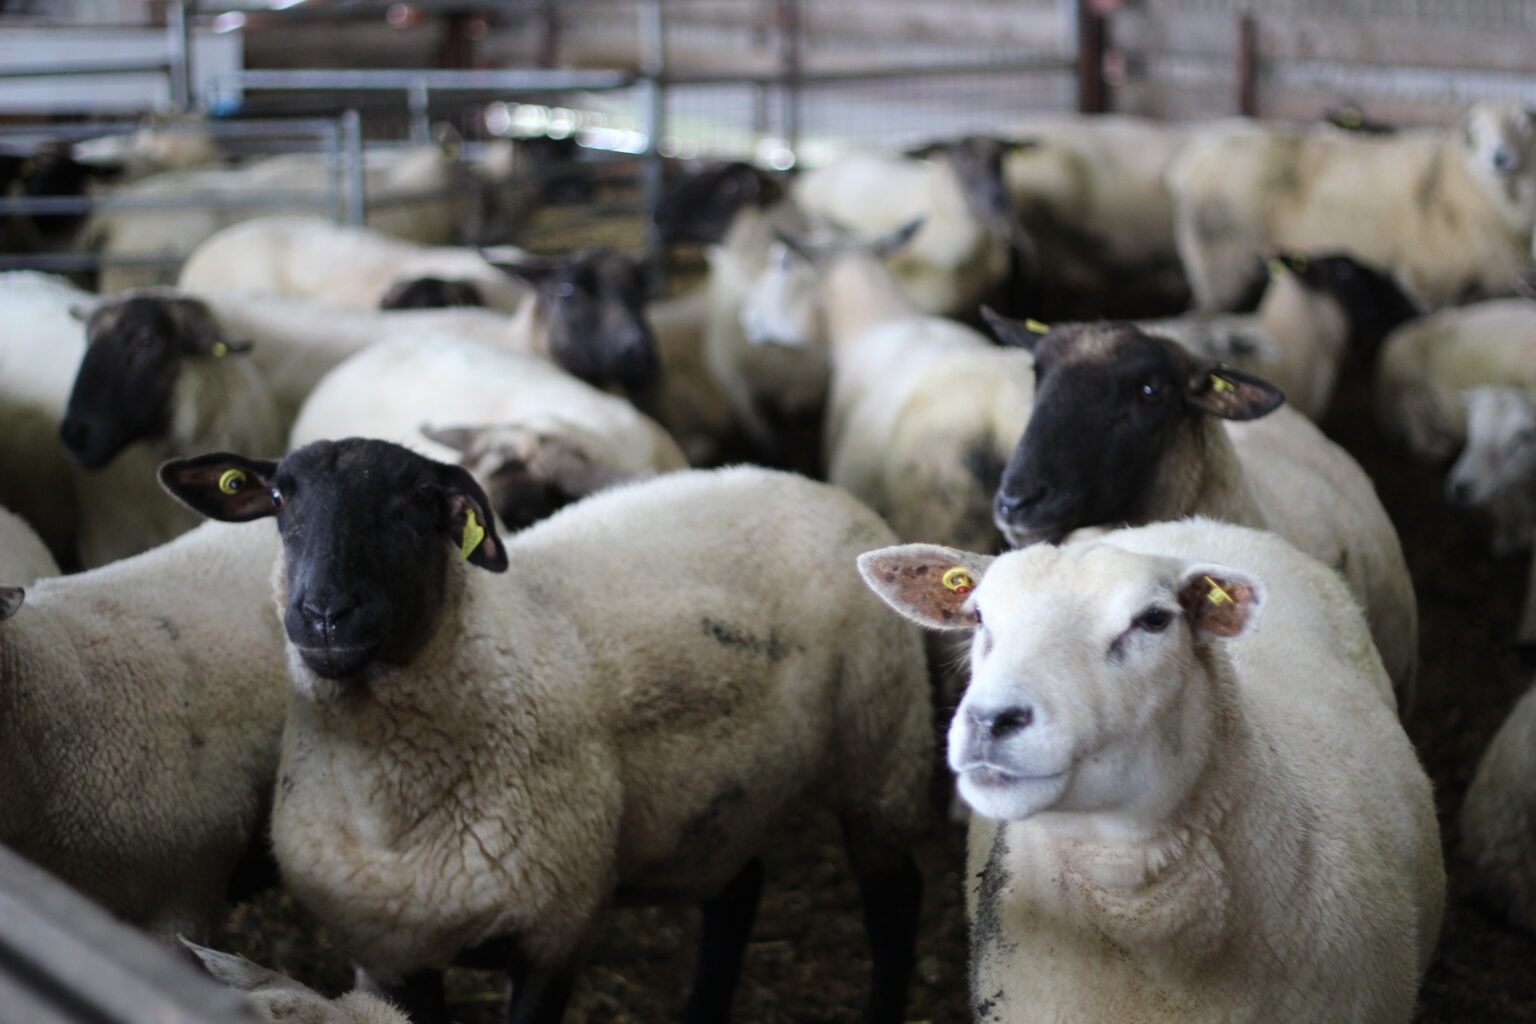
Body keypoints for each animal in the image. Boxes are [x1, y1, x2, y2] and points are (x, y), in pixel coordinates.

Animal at [1168, 100, 1536, 311]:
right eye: (1477, 130)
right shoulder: (1430, 282)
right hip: (1219, 264)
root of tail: (1192, 158)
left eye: (1525, 123)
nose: (1499, 157)